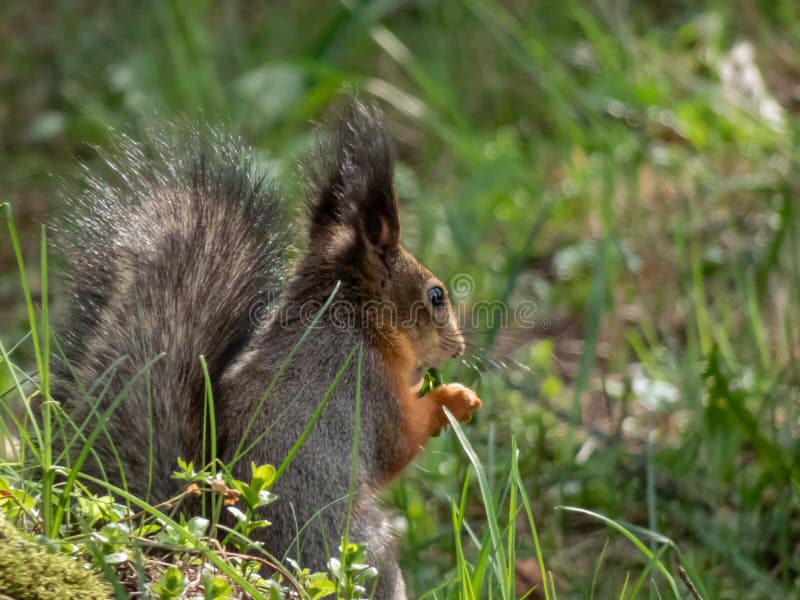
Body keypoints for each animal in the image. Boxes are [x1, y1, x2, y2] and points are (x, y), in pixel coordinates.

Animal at [53, 98, 482, 599]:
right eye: (436, 296)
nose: (457, 348)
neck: (353, 325)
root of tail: (221, 546)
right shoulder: (365, 385)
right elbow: (399, 443)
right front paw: (452, 398)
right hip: (363, 553)